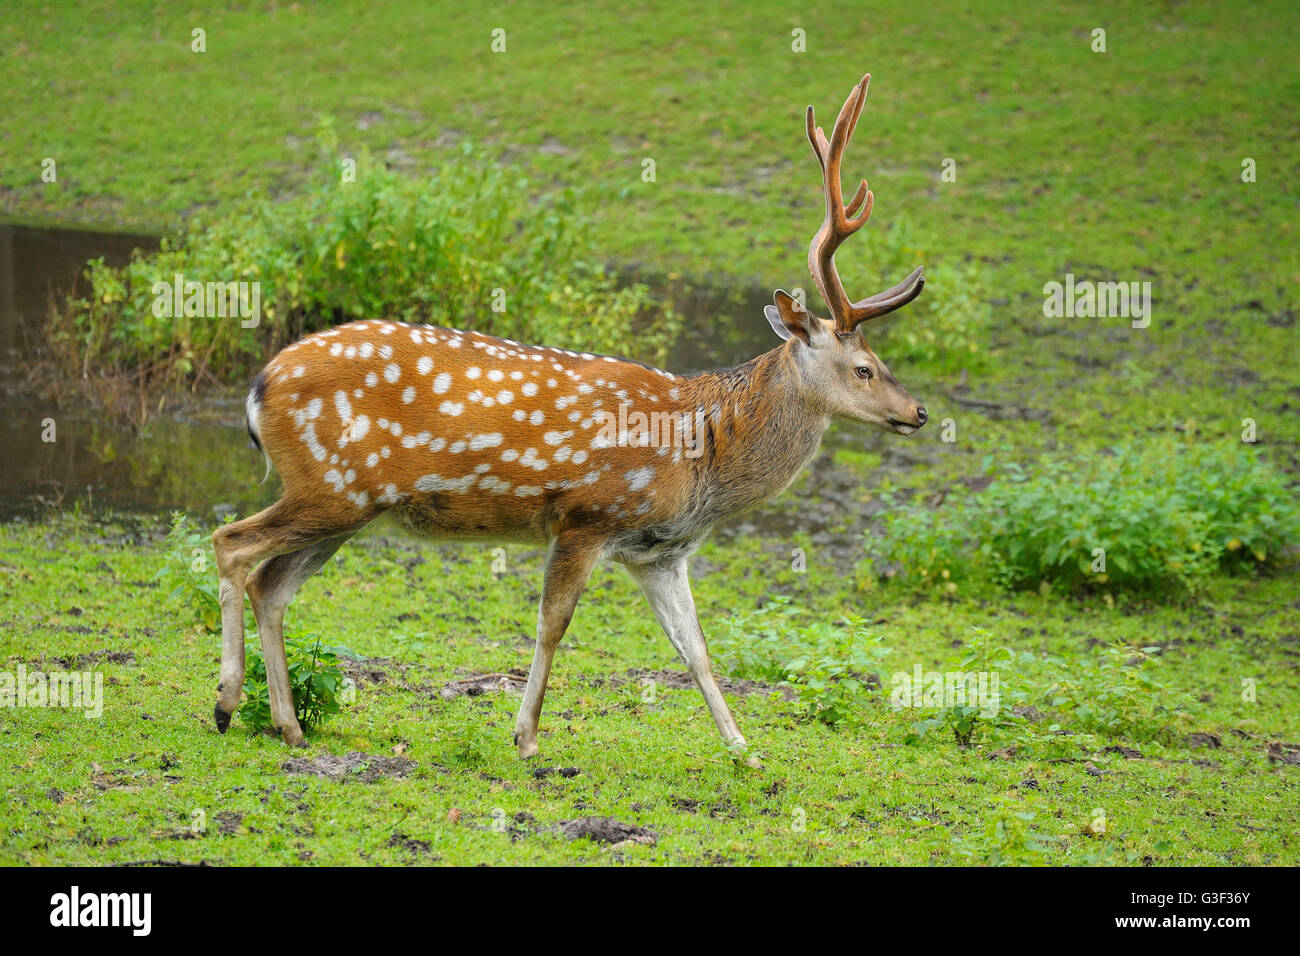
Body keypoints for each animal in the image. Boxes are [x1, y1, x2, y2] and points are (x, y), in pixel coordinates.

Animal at [212, 74, 927, 767]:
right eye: (864, 368)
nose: (918, 412)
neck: (700, 456)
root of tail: (257, 388)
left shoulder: (658, 553)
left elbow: (695, 648)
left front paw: (745, 752)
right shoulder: (587, 515)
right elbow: (553, 625)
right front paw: (527, 738)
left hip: (351, 505)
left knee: (272, 585)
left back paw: (287, 726)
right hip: (327, 484)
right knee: (231, 542)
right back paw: (226, 703)